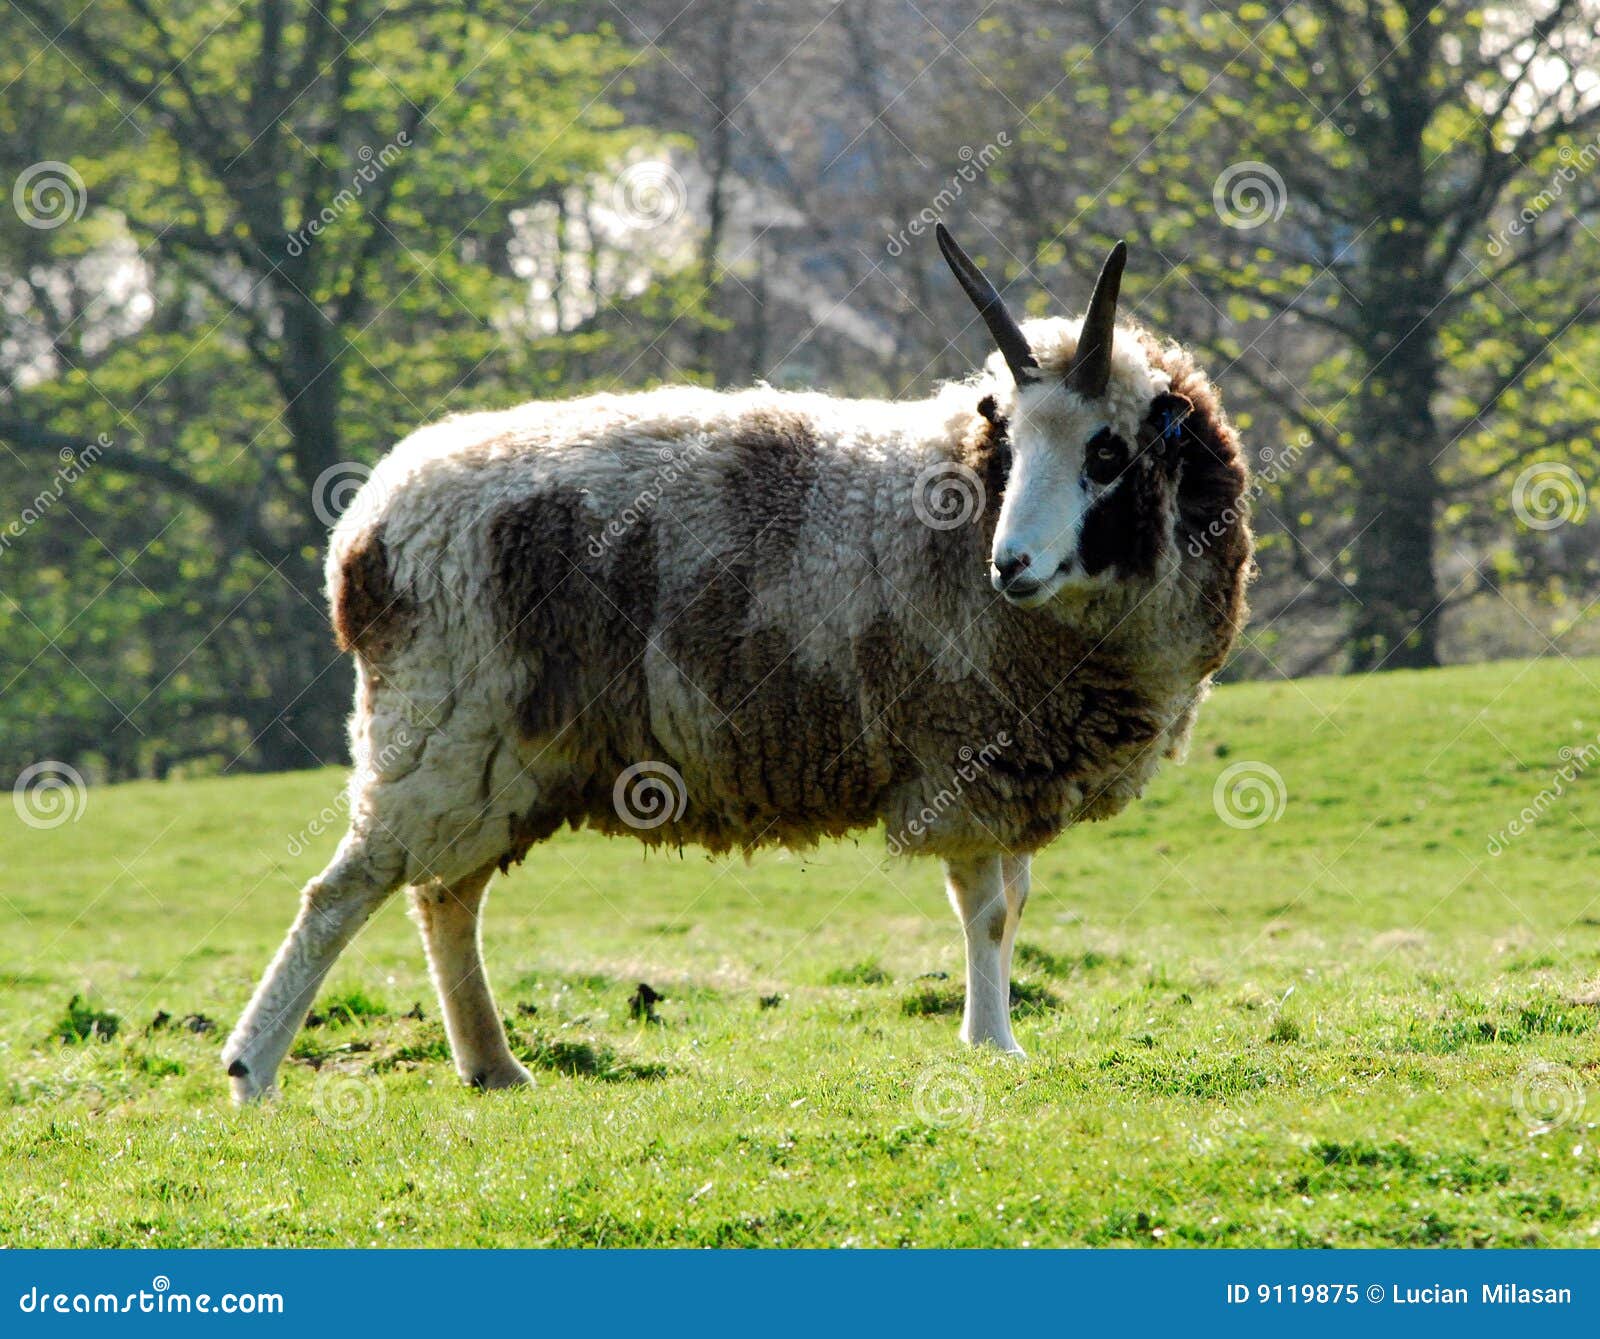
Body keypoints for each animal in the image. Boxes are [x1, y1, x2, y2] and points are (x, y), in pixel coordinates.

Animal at [222, 225, 1251, 1100]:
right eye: (1011, 440)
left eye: (1107, 451)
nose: (1013, 565)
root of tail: (363, 534)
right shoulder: (959, 746)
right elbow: (989, 909)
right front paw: (990, 1043)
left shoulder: (1013, 756)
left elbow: (1018, 903)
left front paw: (995, 1033)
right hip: (439, 723)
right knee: (342, 891)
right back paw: (254, 1067)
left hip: (497, 757)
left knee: (443, 896)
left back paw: (492, 1065)